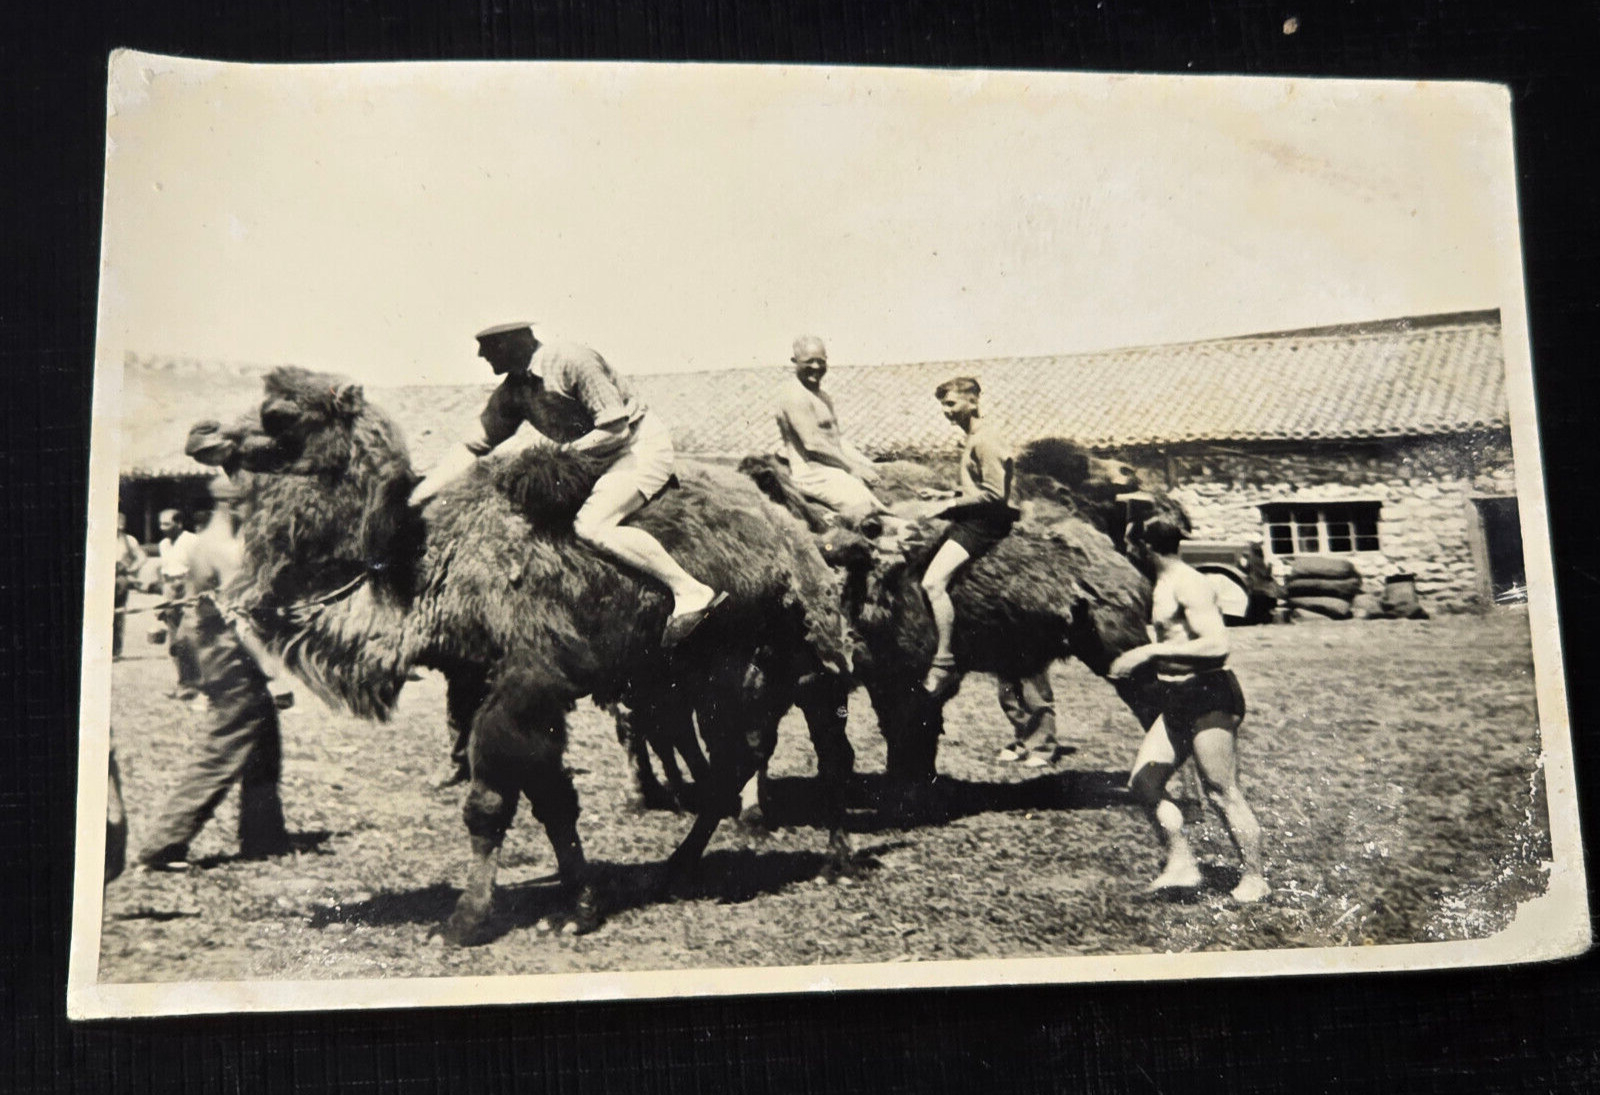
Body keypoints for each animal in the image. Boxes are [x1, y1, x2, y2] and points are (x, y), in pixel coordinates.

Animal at [186, 366, 858, 943]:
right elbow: (553, 801)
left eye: (279, 414)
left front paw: (464, 920)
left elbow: (490, 803)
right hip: (718, 669)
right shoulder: (480, 680)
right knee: (736, 757)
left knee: (830, 748)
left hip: (808, 649)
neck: (421, 567)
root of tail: (794, 527)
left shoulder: (526, 676)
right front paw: (580, 905)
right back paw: (676, 867)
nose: (200, 434)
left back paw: (836, 859)